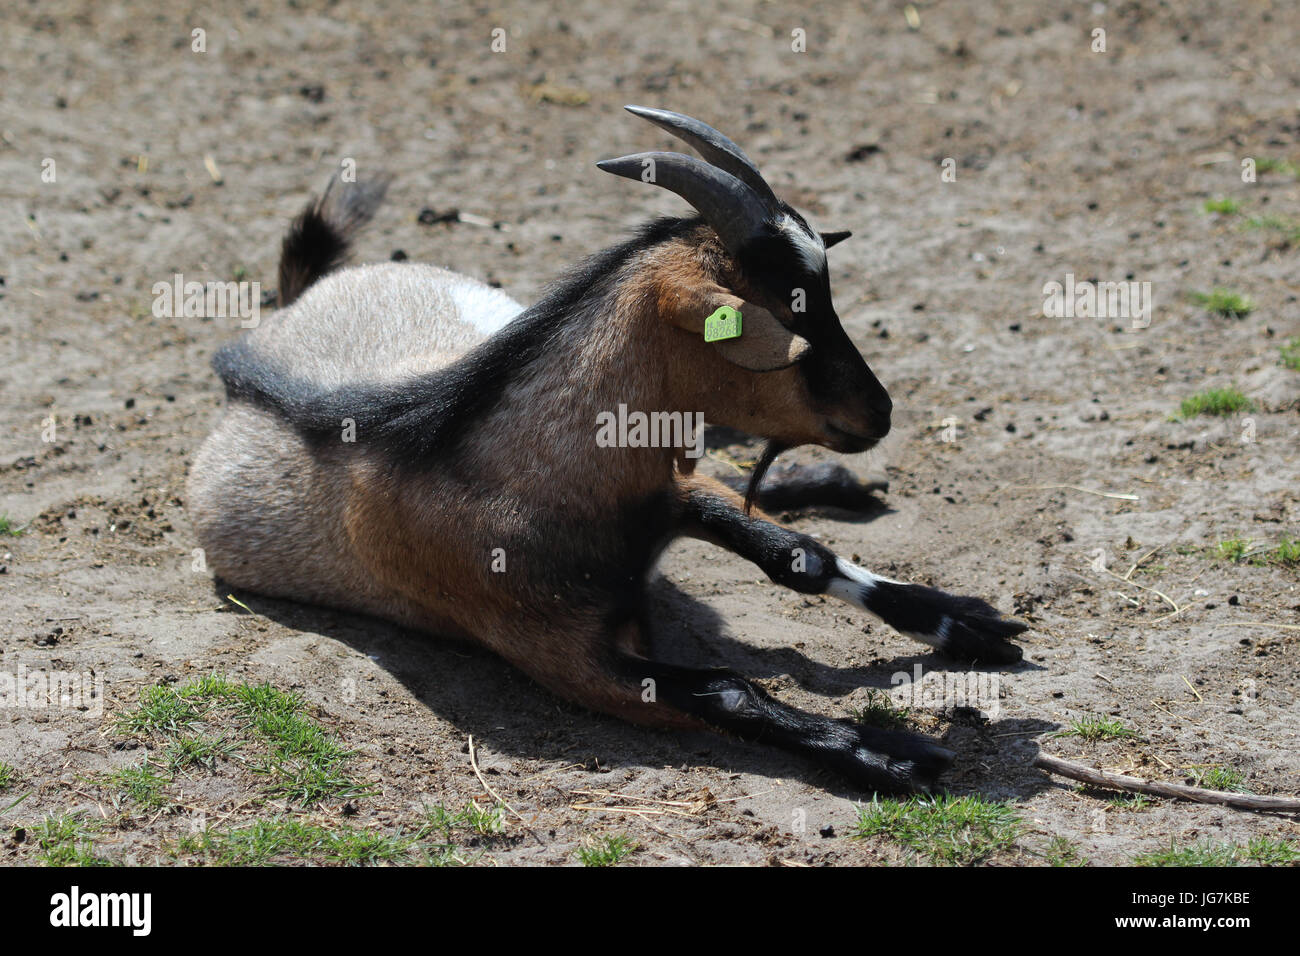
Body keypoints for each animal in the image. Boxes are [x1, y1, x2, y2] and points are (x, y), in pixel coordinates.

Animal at [187, 106, 1027, 793]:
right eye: (786, 315)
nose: (878, 412)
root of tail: (278, 318)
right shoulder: (564, 659)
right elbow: (726, 686)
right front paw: (888, 753)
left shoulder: (667, 490)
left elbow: (795, 557)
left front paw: (966, 621)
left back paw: (828, 482)